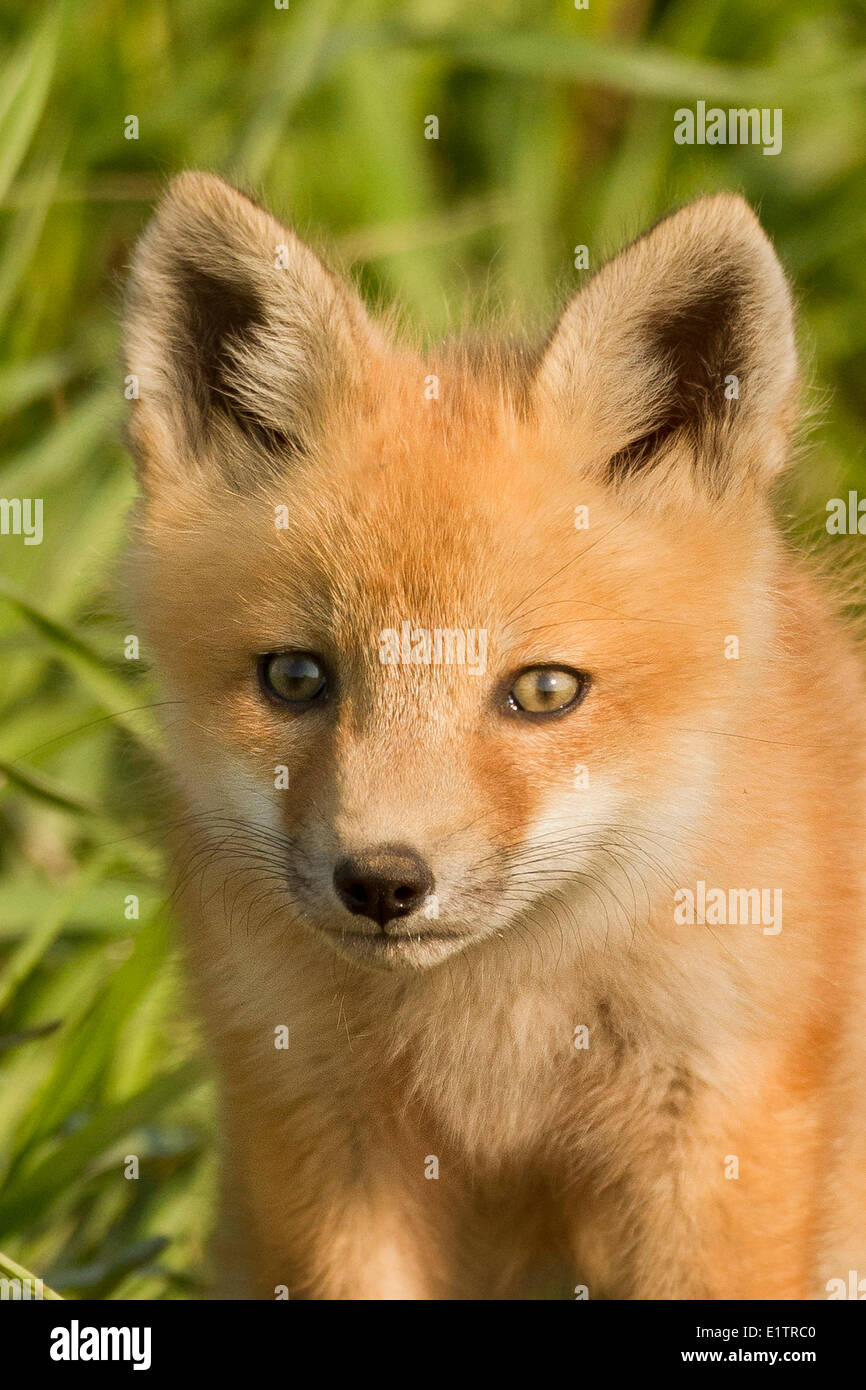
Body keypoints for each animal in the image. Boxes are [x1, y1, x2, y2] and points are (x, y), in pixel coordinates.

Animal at [123, 172, 866, 1300]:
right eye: (296, 677)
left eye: (543, 690)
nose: (382, 881)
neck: (498, 1022)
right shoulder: (322, 1122)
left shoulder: (720, 1116)